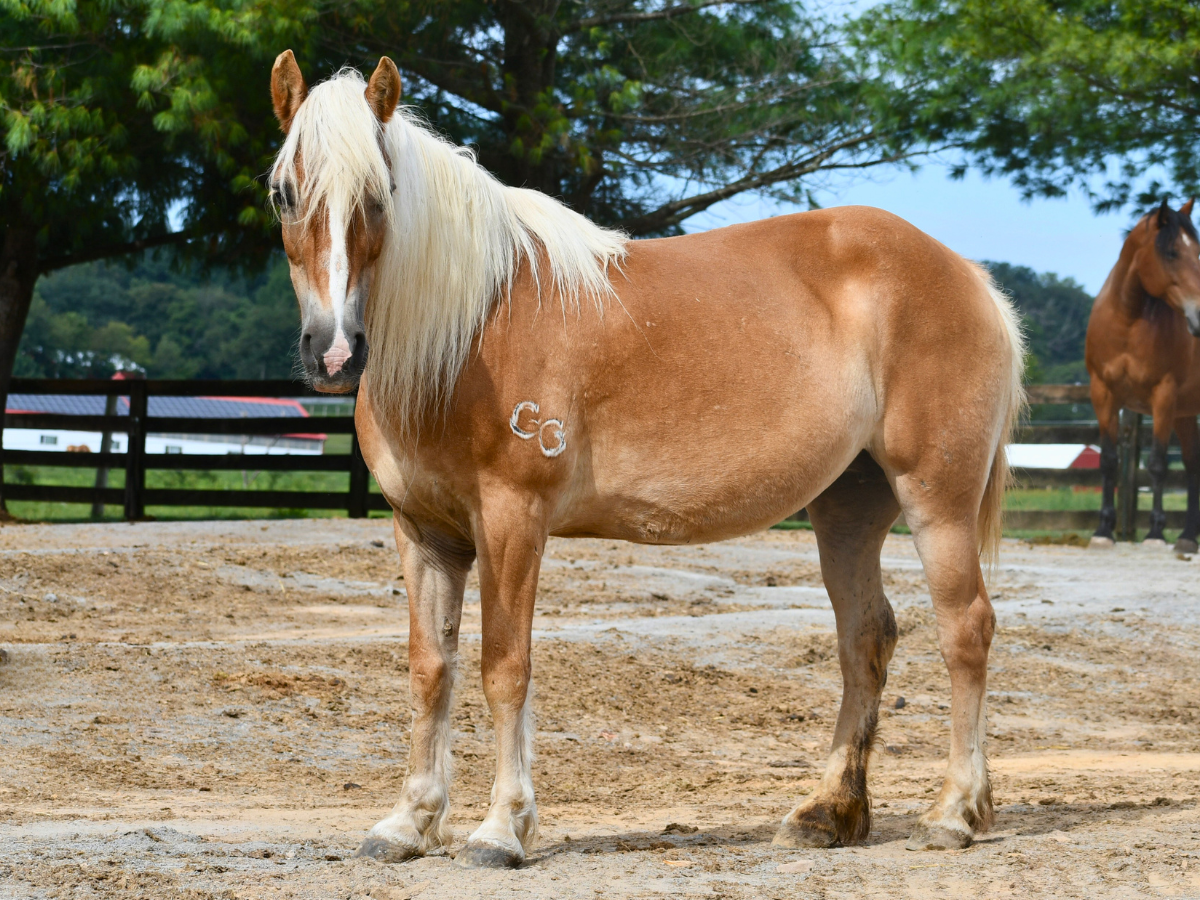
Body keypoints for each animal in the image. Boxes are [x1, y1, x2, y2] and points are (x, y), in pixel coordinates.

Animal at [267, 52, 1025, 867]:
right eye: (283, 191)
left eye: (379, 197)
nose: (334, 353)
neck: (470, 326)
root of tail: (968, 276)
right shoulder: (424, 531)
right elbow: (430, 669)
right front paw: (408, 821)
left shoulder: (512, 519)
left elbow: (505, 666)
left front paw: (502, 829)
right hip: (849, 509)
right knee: (866, 639)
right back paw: (827, 813)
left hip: (936, 499)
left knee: (965, 630)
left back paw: (955, 812)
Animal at [1086, 200, 1200, 553]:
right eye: (1172, 253)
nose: (1199, 316)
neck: (1128, 320)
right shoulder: (1103, 394)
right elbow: (1109, 461)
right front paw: (1103, 530)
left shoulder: (1163, 396)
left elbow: (1157, 464)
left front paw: (1155, 533)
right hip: (1185, 415)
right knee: (1192, 464)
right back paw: (1188, 537)